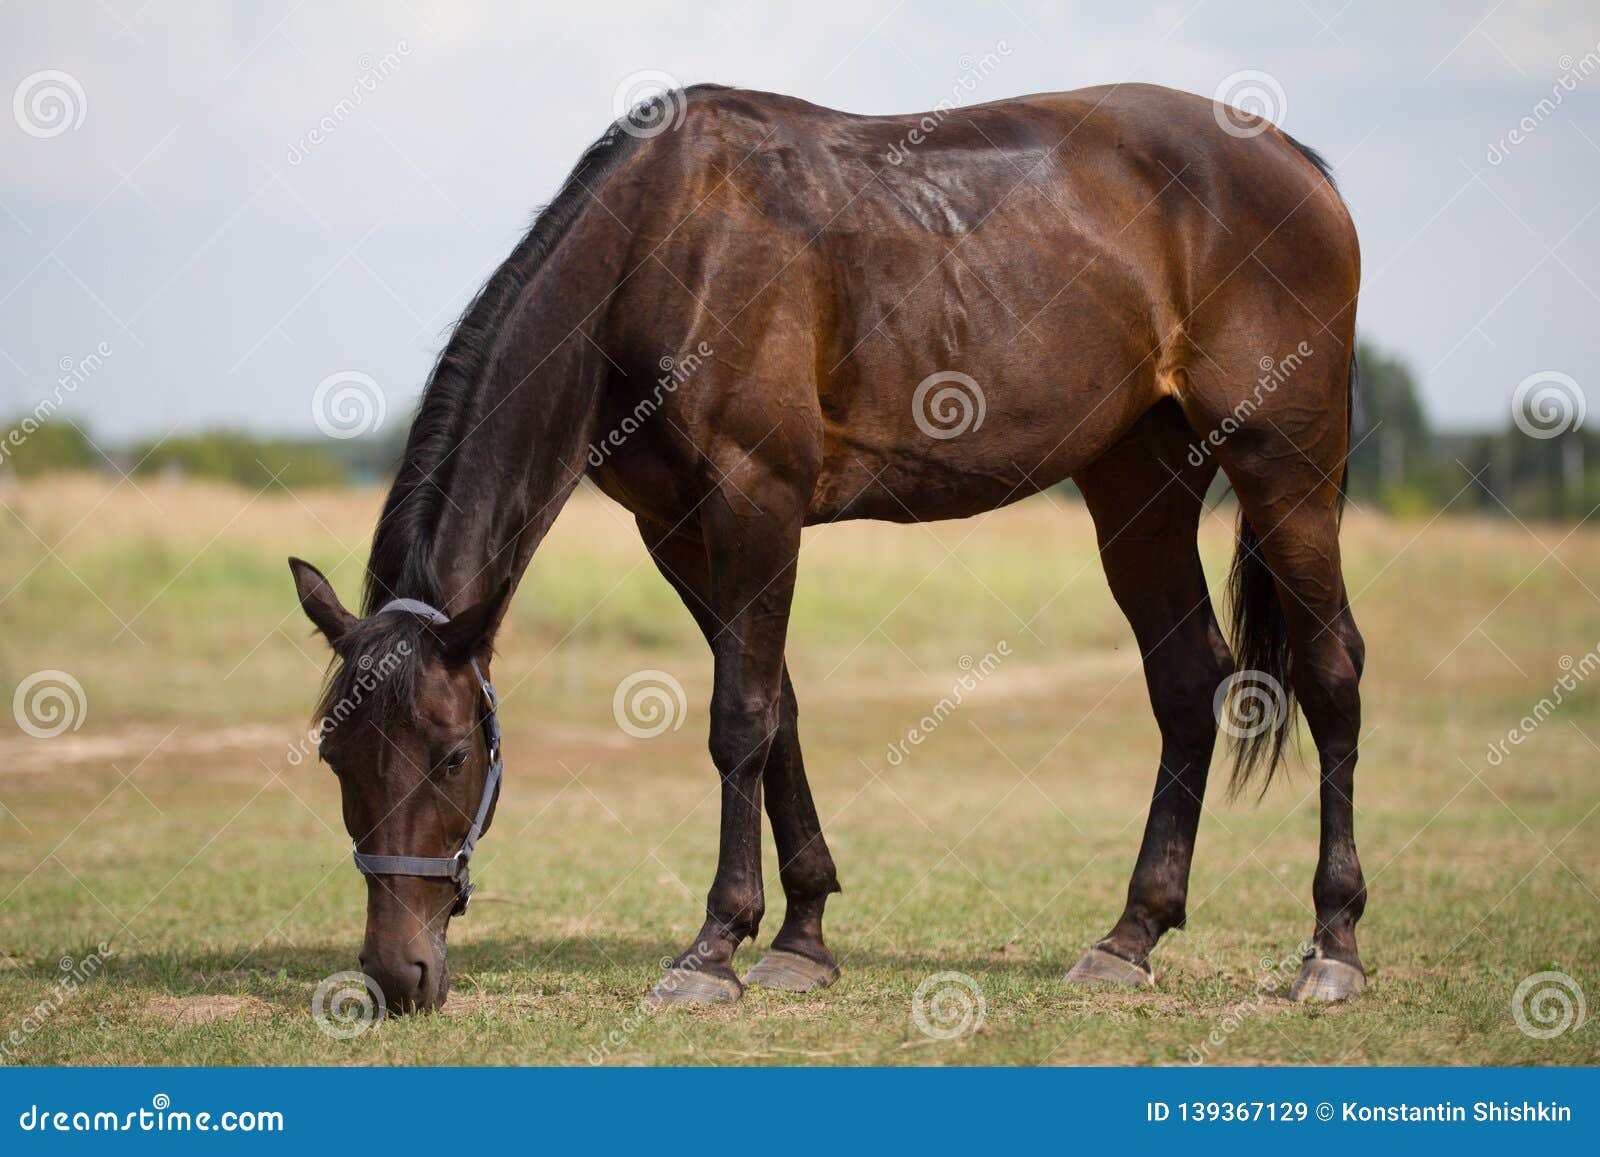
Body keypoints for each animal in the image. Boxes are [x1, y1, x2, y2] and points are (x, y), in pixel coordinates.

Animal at [288, 82, 1365, 1013]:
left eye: (452, 754)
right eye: (336, 757)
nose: (397, 972)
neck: (661, 247)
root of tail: (1298, 167)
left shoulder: (754, 502)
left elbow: (739, 717)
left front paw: (714, 947)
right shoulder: (677, 529)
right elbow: (781, 712)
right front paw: (801, 936)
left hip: (1285, 471)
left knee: (1330, 670)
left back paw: (1334, 944)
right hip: (1137, 484)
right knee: (1187, 678)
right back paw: (1130, 934)